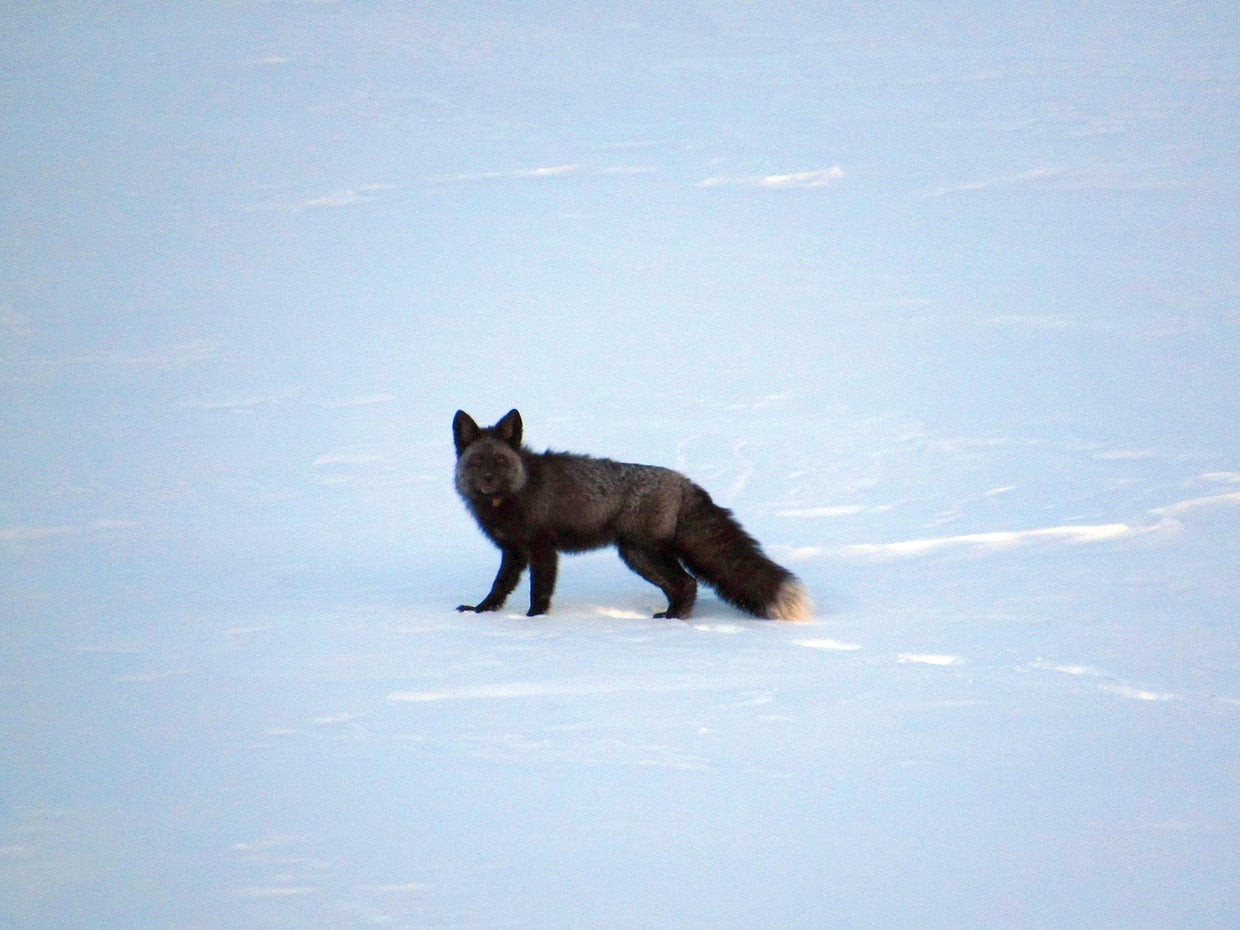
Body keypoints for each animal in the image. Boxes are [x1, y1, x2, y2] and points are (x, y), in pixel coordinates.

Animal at [452, 408, 811, 621]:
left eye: (500, 462)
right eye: (477, 462)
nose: (487, 481)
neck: (512, 497)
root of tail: (684, 482)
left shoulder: (542, 549)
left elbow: (538, 591)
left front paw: (534, 622)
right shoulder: (513, 551)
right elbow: (499, 586)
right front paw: (481, 612)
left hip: (640, 551)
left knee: (688, 582)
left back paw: (672, 619)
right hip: (639, 555)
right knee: (683, 584)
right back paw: (671, 615)